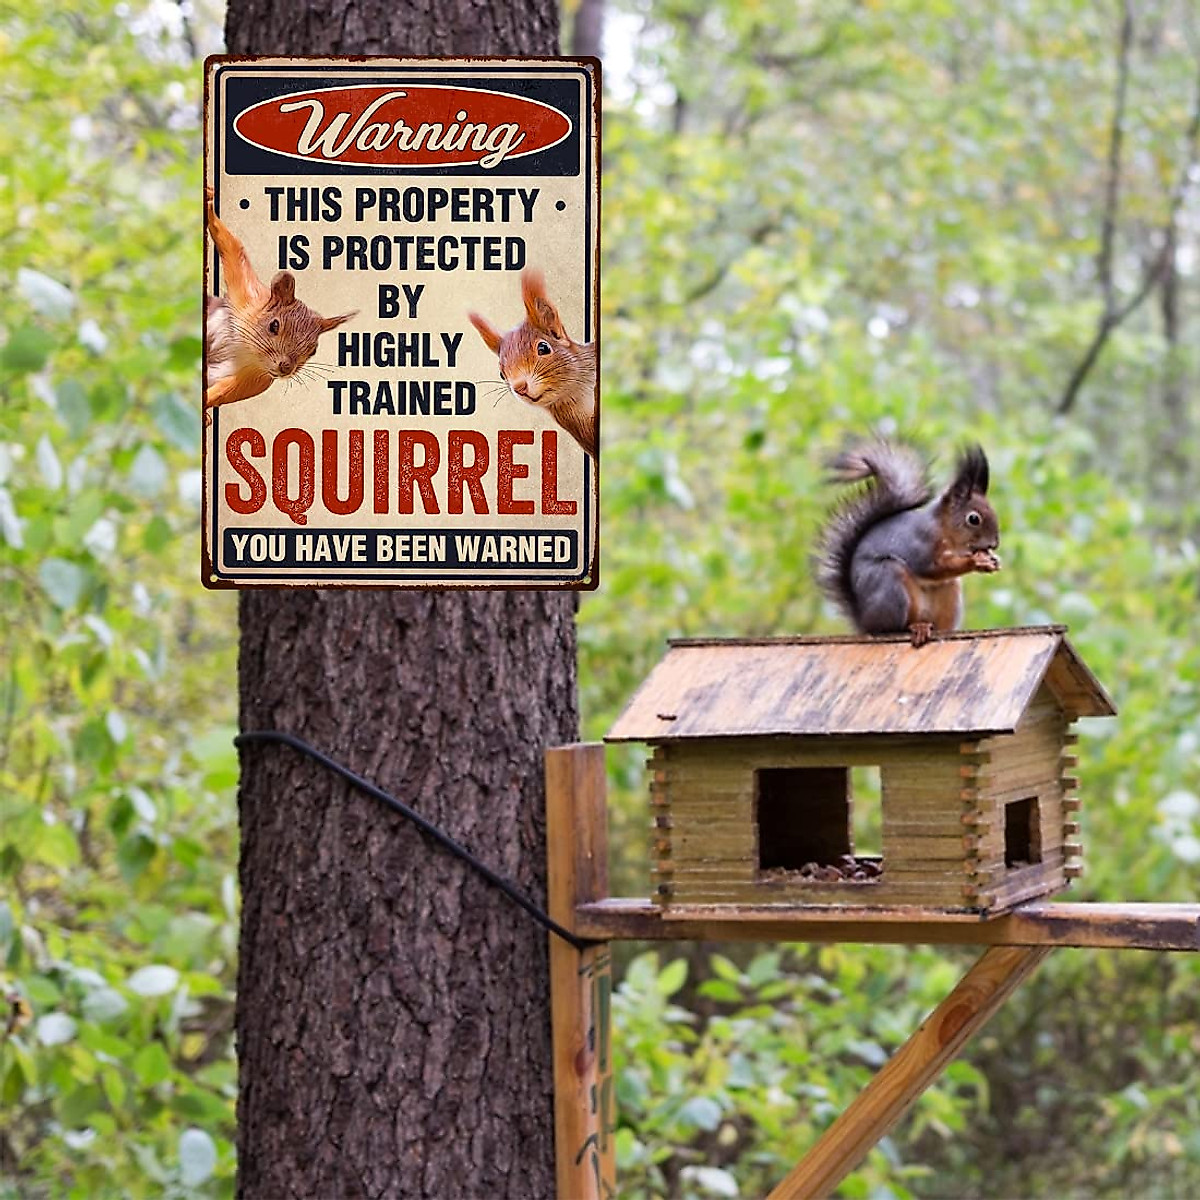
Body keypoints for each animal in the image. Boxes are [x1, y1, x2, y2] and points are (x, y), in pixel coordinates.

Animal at [205, 191, 354, 415]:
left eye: (313, 350)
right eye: (274, 325)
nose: (286, 368)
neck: (249, 350)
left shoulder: (256, 379)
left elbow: (228, 390)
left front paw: (208, 399)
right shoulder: (245, 295)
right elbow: (233, 248)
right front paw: (209, 203)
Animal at [815, 438, 1001, 647]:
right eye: (973, 518)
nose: (994, 543)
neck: (946, 532)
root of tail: (864, 621)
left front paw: (992, 560)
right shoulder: (920, 544)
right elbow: (931, 567)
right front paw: (976, 561)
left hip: (949, 593)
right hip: (889, 582)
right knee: (889, 629)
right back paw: (914, 628)